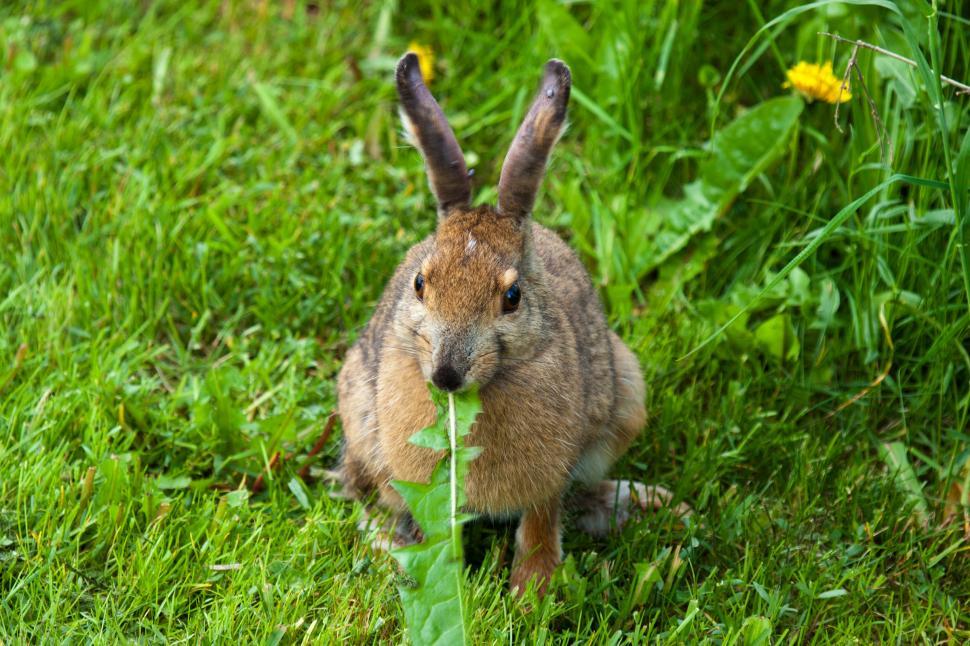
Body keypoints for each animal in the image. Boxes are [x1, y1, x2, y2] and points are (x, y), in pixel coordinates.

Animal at [337, 53, 687, 596]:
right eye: (419, 283)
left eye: (512, 297)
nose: (446, 375)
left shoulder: (547, 476)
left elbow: (541, 519)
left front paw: (532, 590)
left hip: (626, 393)